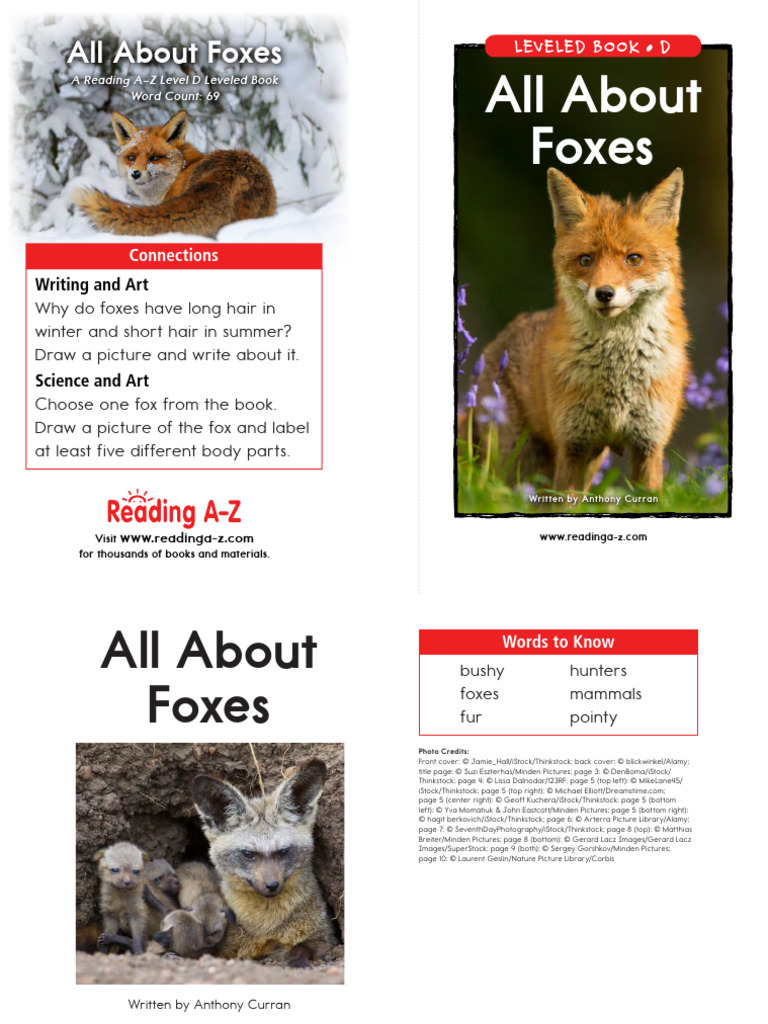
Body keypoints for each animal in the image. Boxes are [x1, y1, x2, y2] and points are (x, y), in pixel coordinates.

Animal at [192, 759, 335, 968]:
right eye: (248, 854)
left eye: (283, 851)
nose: (272, 885)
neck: (266, 926)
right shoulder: (228, 947)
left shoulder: (324, 936)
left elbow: (301, 947)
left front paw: (296, 960)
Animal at [475, 167, 690, 495]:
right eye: (586, 259)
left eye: (633, 258)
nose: (604, 293)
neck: (617, 373)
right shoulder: (573, 445)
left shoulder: (649, 444)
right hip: (517, 461)